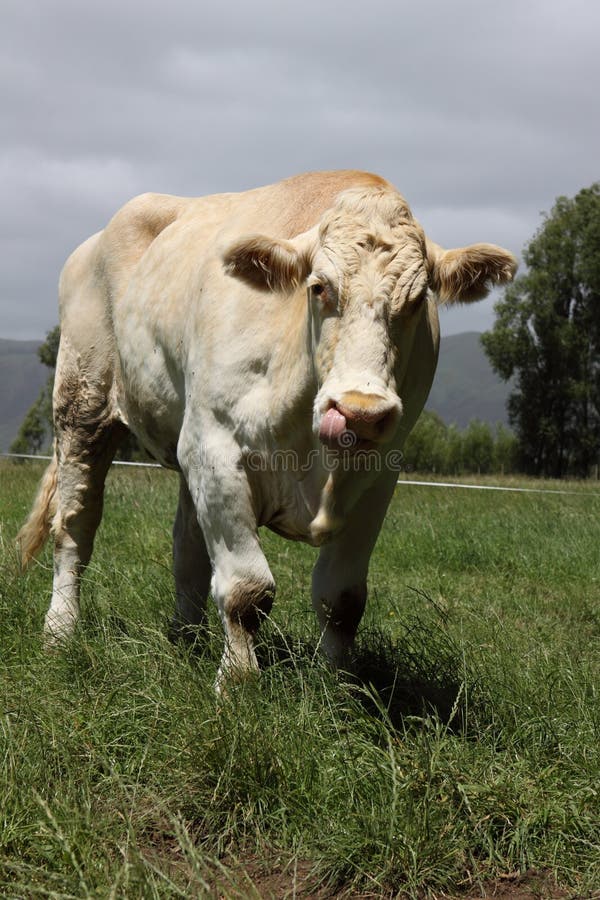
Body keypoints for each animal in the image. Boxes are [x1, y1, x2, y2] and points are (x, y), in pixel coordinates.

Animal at [18, 171, 516, 688]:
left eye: (418, 300)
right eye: (319, 287)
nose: (359, 410)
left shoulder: (380, 475)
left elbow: (342, 599)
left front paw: (336, 685)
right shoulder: (216, 449)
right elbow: (247, 589)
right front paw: (237, 683)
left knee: (187, 548)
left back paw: (186, 639)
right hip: (82, 405)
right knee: (74, 526)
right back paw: (59, 632)